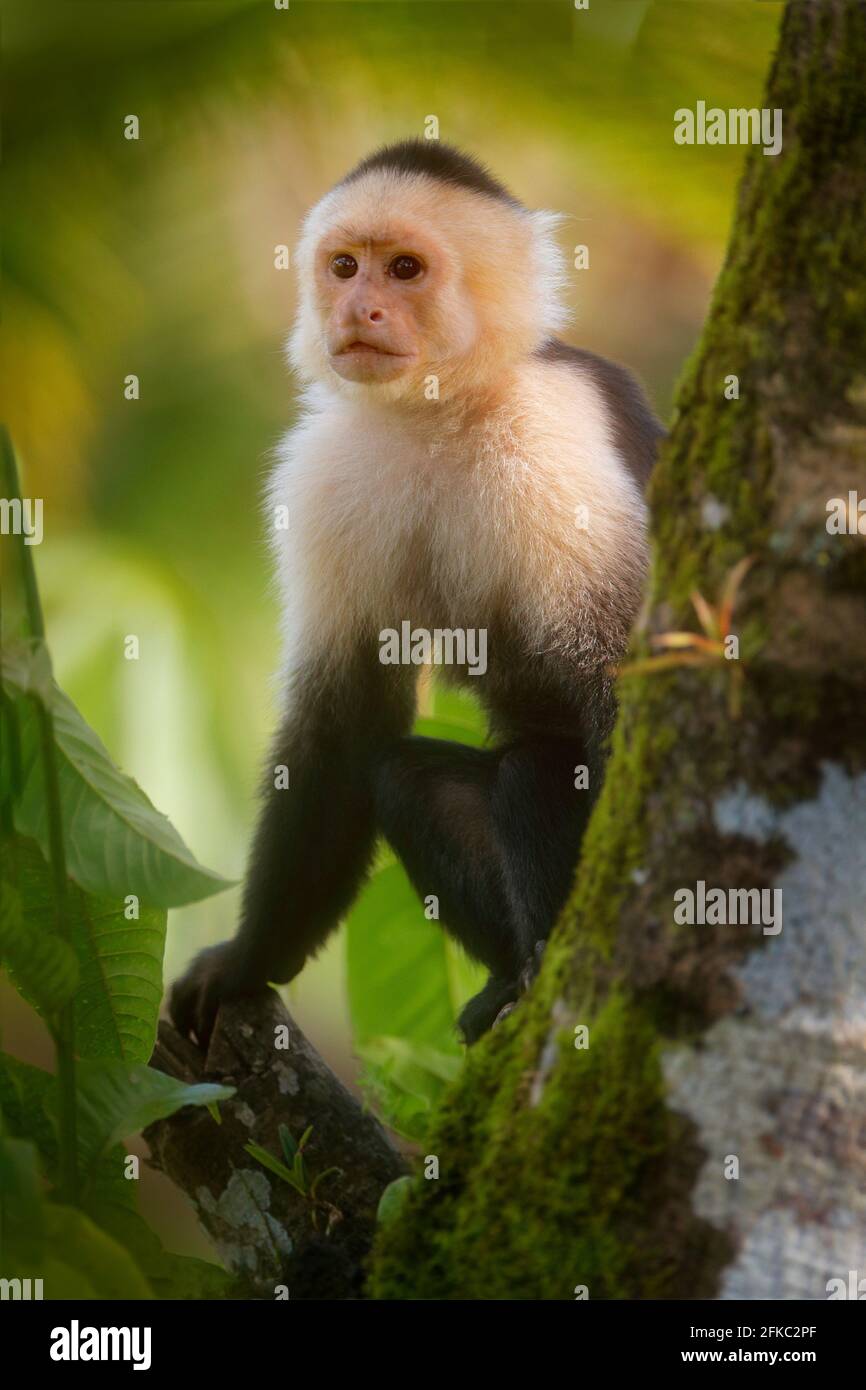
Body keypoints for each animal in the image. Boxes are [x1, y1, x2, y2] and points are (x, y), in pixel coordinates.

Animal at [170, 140, 663, 1049]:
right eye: (344, 267)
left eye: (405, 269)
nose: (359, 309)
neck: (443, 408)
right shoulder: (323, 472)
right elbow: (343, 724)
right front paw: (247, 960)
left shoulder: (556, 434)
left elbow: (627, 682)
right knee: (404, 775)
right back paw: (504, 979)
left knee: (539, 772)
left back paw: (534, 977)